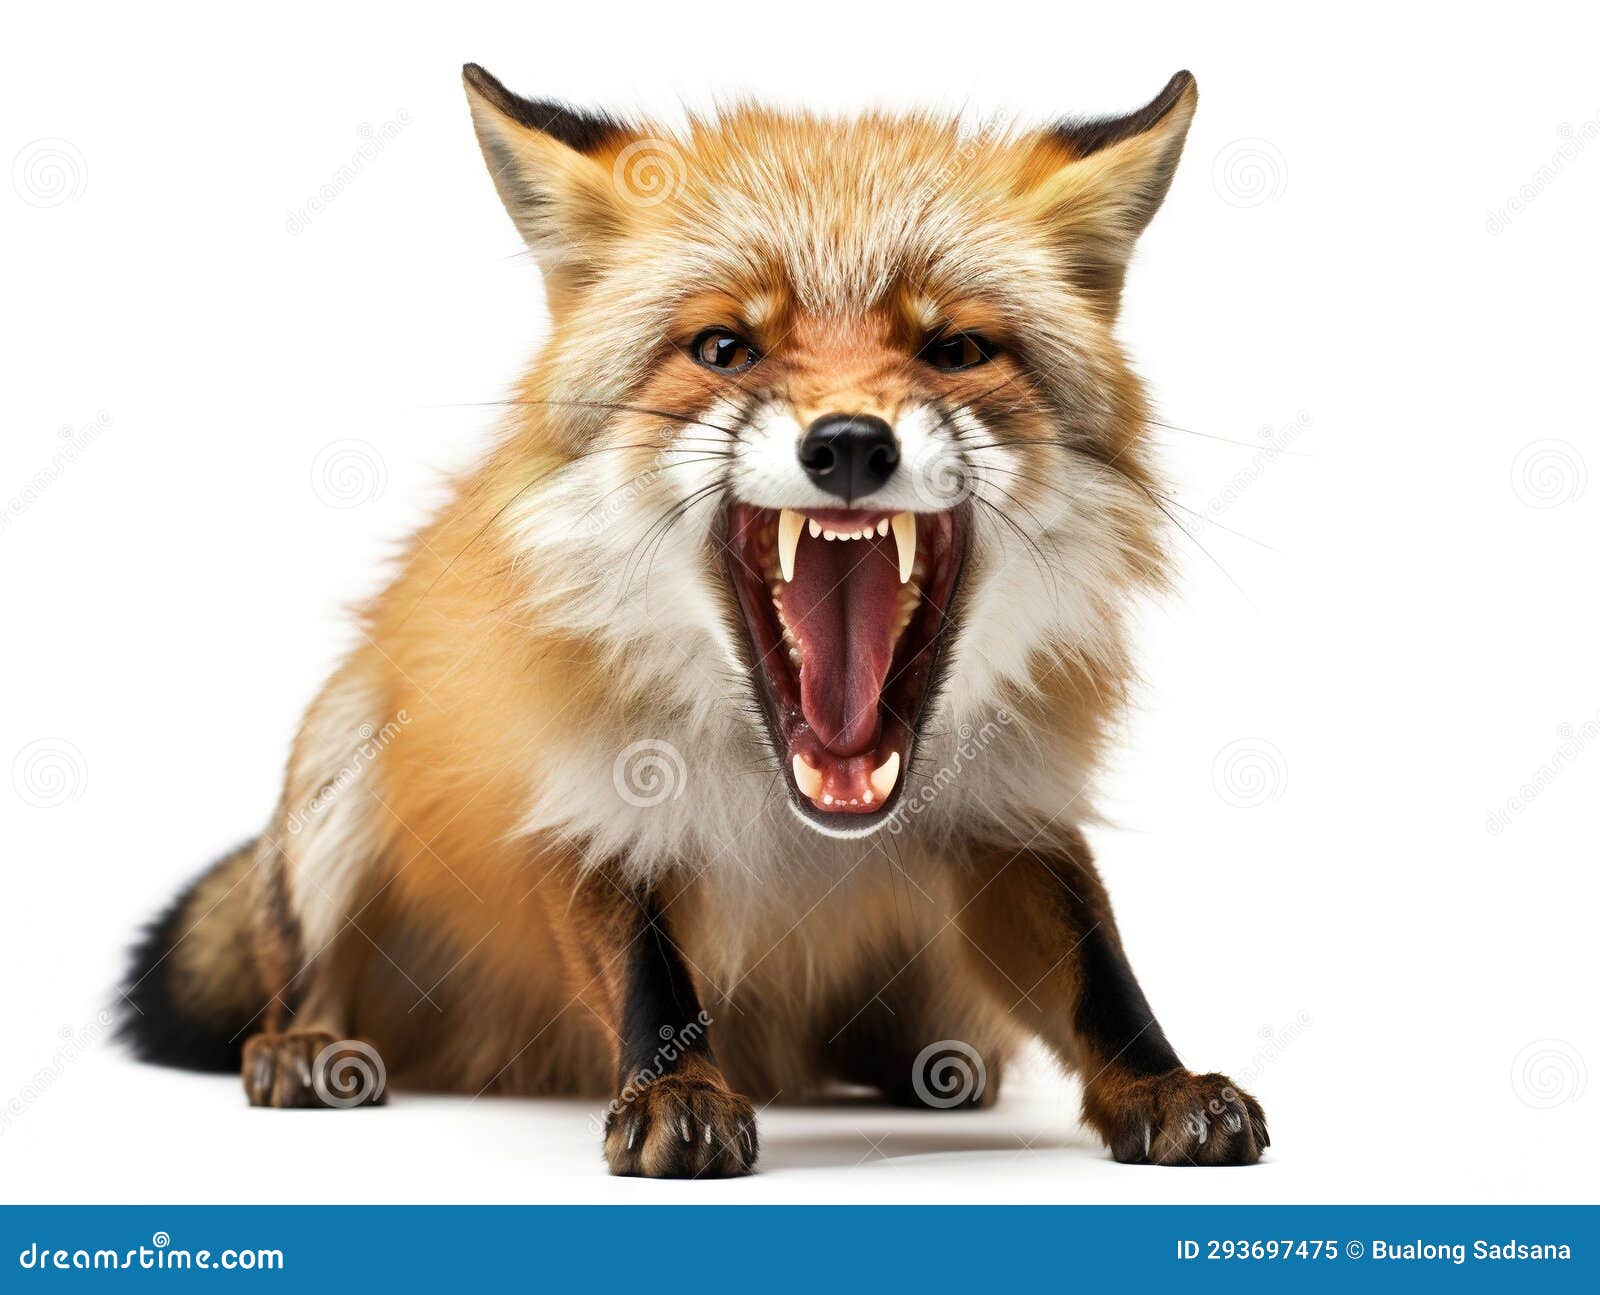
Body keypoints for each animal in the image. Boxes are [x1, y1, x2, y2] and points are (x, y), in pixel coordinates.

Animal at [119, 63, 1269, 1176]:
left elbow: (1098, 975)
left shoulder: (1009, 810)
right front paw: (672, 1094)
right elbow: (649, 975)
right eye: (724, 348)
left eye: (954, 349)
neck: (796, 814)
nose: (850, 444)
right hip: (341, 755)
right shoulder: (588, 795)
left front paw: (1161, 1084)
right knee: (299, 972)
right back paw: (302, 1044)